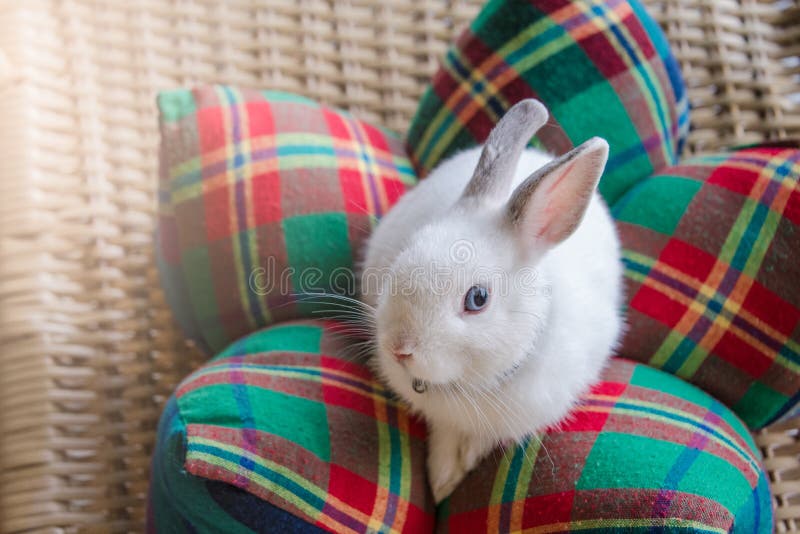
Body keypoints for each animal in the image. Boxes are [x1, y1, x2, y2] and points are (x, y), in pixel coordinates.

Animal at [360, 99, 624, 504]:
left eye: (478, 298)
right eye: (404, 255)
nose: (399, 349)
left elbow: (481, 439)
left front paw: (456, 470)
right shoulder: (441, 418)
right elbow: (444, 437)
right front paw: (441, 479)